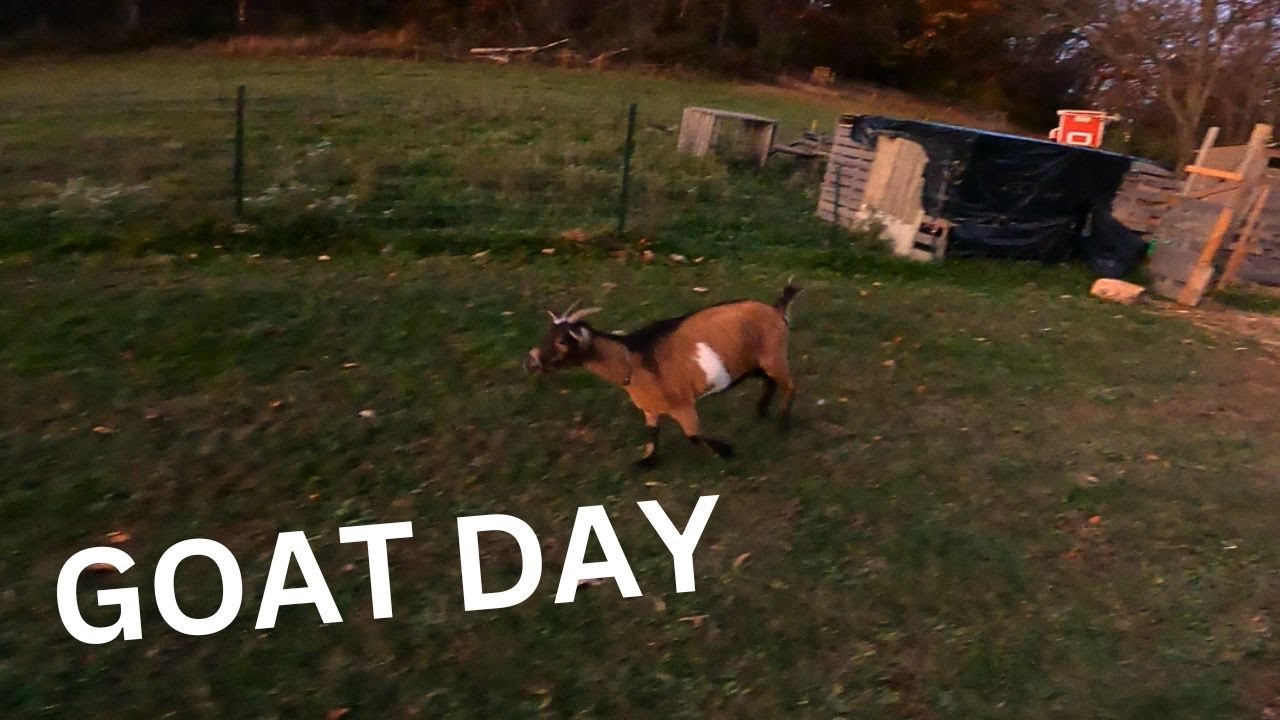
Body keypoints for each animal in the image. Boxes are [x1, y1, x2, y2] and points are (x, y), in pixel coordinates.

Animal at [524, 282, 801, 466]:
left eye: (562, 341)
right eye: (548, 334)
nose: (530, 361)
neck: (632, 359)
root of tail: (777, 309)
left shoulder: (683, 405)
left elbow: (693, 435)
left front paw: (726, 450)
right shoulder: (650, 408)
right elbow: (653, 435)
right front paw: (645, 463)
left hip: (773, 355)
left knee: (789, 384)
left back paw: (783, 424)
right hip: (754, 363)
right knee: (769, 382)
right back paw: (762, 411)